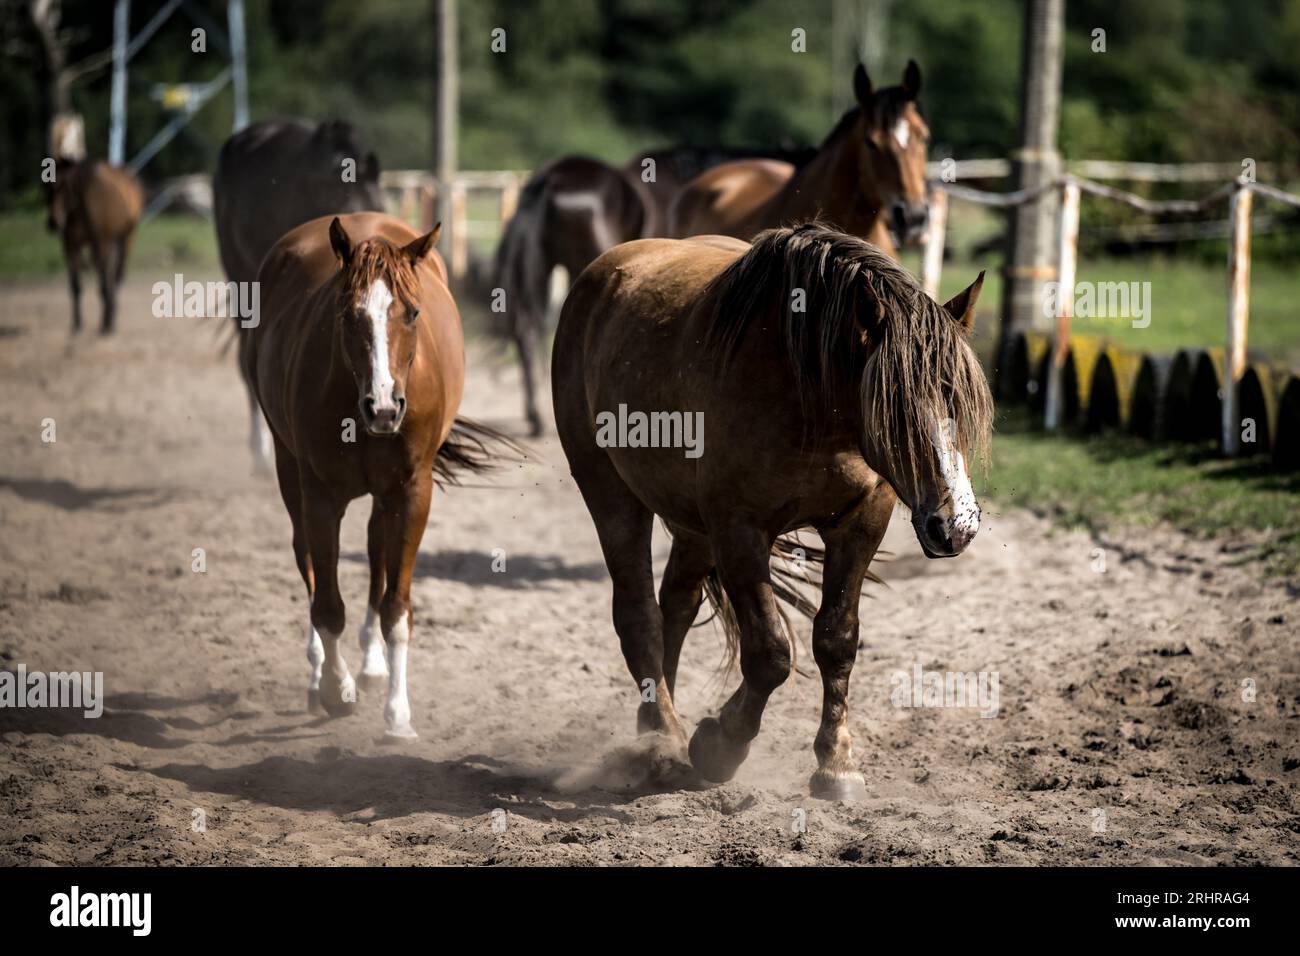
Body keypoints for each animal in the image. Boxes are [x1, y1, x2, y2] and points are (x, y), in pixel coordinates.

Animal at [45, 158, 143, 335]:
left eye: (66, 187)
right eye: (48, 188)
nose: (53, 222)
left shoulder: (101, 243)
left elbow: (103, 286)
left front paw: (106, 323)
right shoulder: (70, 246)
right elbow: (75, 286)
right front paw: (77, 323)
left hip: (126, 238)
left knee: (116, 276)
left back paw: (111, 313)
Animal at [243, 211, 512, 737]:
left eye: (412, 313)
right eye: (349, 315)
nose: (385, 408)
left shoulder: (411, 493)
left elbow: (396, 606)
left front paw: (398, 714)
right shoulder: (319, 494)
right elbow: (327, 603)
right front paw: (335, 689)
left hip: (383, 496)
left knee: (376, 556)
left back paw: (371, 665)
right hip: (289, 469)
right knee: (306, 557)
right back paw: (323, 676)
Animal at [552, 222, 992, 797]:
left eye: (958, 402)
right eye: (895, 407)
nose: (955, 526)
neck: (807, 392)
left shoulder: (860, 523)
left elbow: (836, 640)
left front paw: (836, 764)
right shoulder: (739, 531)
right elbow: (770, 653)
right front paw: (719, 745)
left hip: (691, 526)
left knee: (676, 608)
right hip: (610, 492)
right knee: (639, 617)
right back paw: (661, 739)